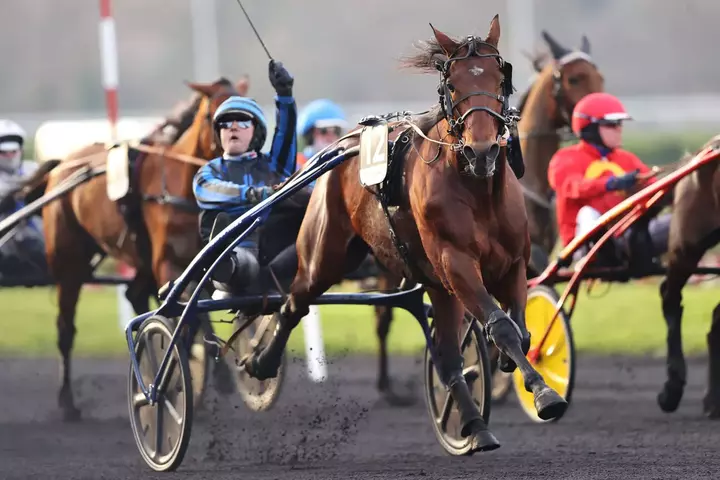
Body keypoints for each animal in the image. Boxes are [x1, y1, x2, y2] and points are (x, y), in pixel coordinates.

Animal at [39, 77, 242, 420]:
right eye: (210, 116)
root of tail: (61, 167)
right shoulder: (168, 263)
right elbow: (185, 317)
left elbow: (193, 316)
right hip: (70, 263)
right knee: (66, 327)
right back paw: (68, 402)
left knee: (135, 295)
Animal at [242, 15, 568, 451]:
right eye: (452, 84)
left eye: (501, 78)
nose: (482, 150)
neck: (477, 190)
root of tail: (346, 143)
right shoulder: (457, 263)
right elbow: (501, 325)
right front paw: (545, 393)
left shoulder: (512, 264)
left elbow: (520, 328)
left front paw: (512, 368)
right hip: (325, 254)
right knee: (295, 301)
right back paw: (261, 362)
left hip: (436, 284)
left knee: (447, 359)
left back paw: (474, 425)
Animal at [372, 30, 606, 405]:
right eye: (573, 79)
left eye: (599, 77)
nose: (599, 115)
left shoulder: (524, 261)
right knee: (383, 317)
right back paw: (386, 386)